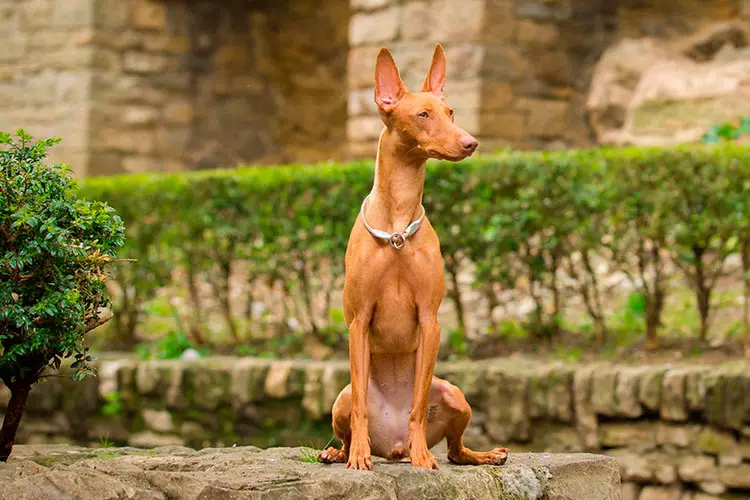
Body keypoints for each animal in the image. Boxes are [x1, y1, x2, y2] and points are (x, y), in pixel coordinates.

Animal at [318, 45, 512, 470]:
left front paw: (423, 455)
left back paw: (484, 454)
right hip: (341, 396)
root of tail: (392, 446)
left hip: (455, 393)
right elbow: (361, 408)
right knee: (350, 416)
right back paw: (338, 452)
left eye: (450, 111)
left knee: (456, 450)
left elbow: (418, 405)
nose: (471, 142)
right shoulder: (358, 321)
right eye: (423, 114)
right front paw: (358, 458)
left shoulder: (430, 320)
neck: (397, 231)